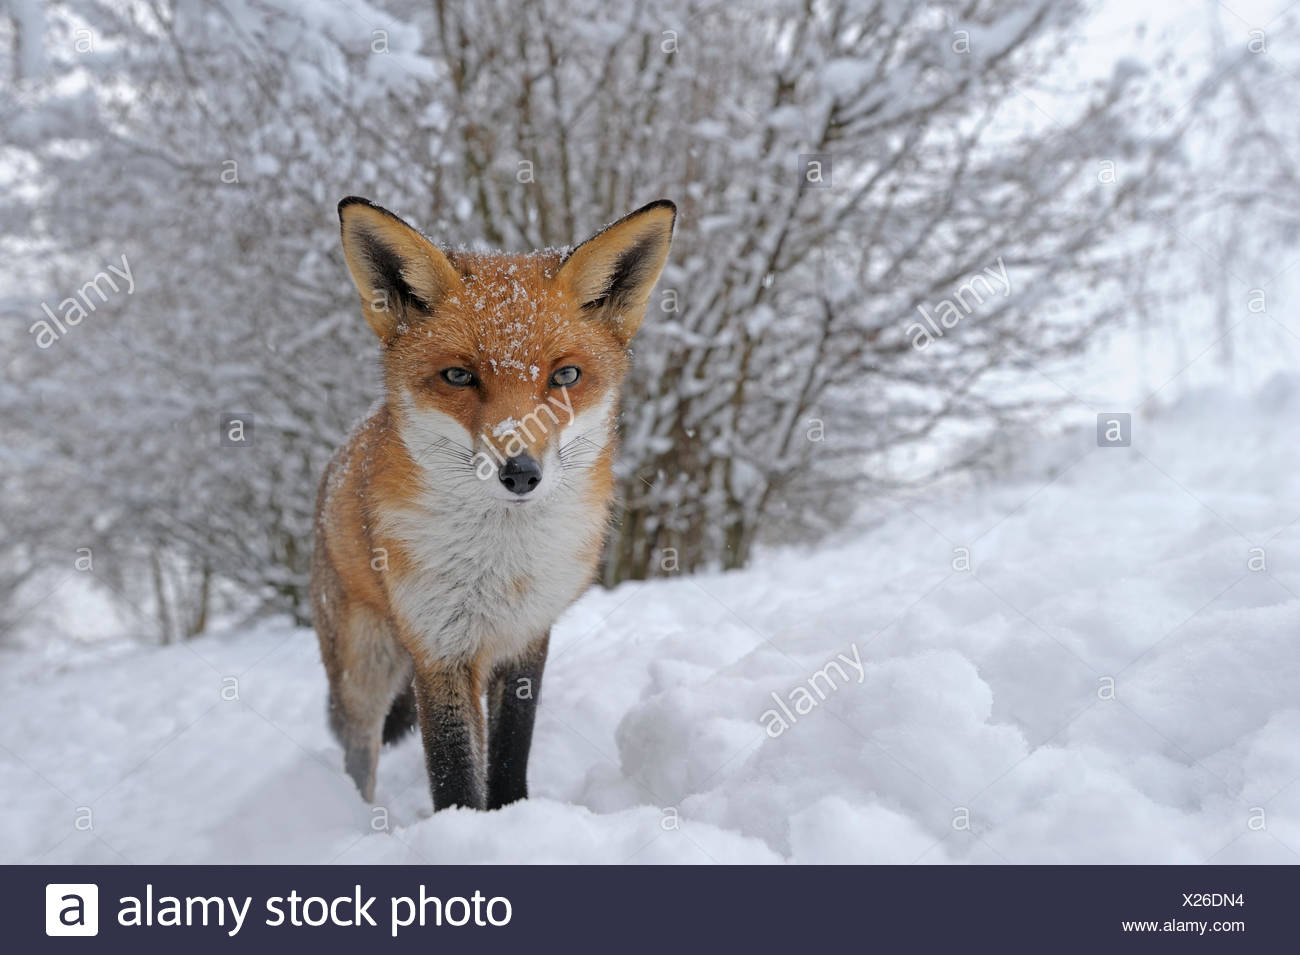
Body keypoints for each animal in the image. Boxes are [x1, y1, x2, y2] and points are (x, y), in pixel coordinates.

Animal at [311, 195, 676, 811]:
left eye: (566, 375)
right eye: (459, 376)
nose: (520, 472)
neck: (501, 563)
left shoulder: (526, 637)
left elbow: (508, 752)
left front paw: (511, 816)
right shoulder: (438, 648)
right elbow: (454, 771)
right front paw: (462, 825)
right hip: (365, 669)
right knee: (358, 750)